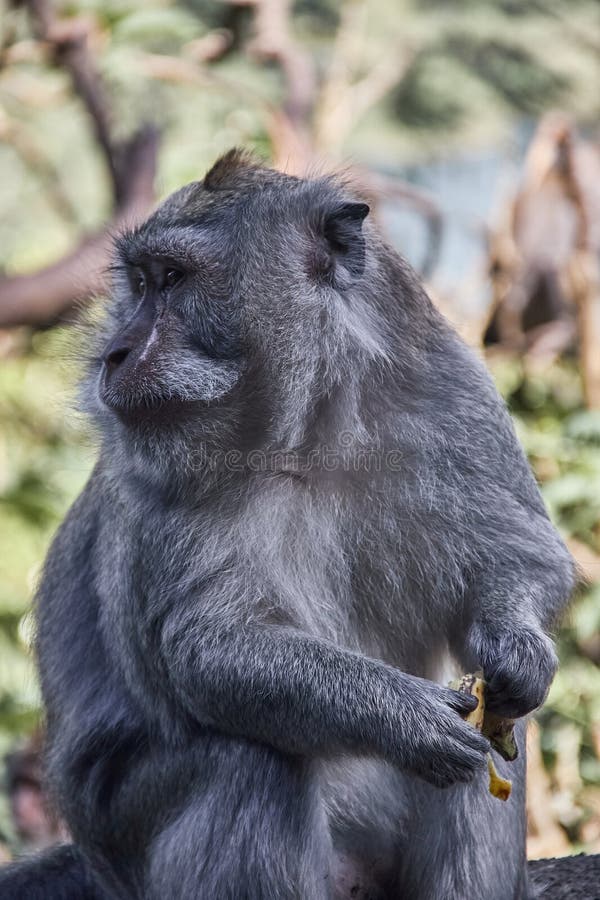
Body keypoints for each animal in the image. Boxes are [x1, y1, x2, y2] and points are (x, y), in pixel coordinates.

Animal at [0, 149, 574, 900]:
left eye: (173, 279)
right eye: (142, 283)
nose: (116, 354)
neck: (312, 431)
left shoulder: (451, 392)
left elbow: (524, 558)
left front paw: (520, 650)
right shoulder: (158, 470)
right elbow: (209, 648)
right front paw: (401, 717)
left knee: (501, 733)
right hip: (129, 845)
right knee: (250, 758)